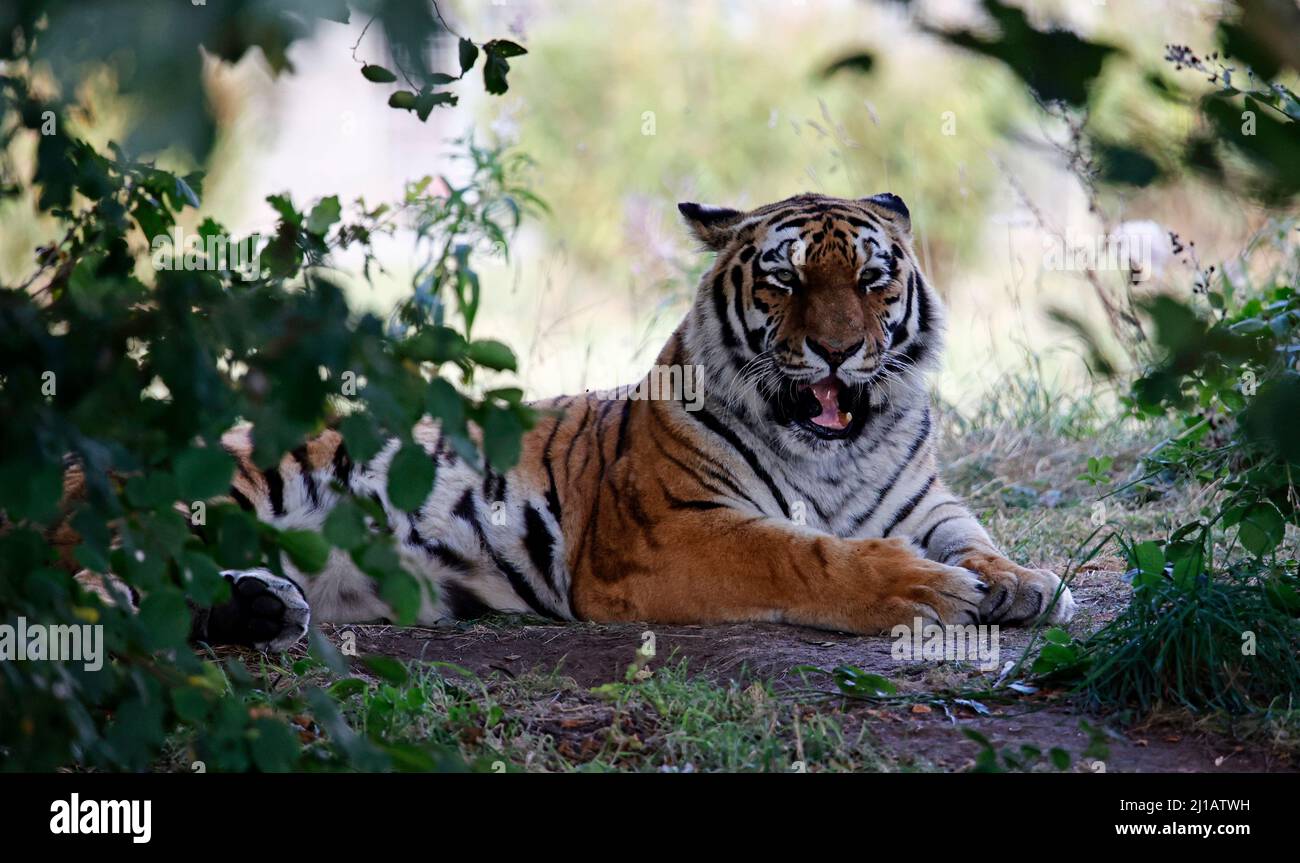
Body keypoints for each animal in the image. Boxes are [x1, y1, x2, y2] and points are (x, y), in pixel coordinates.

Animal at [82, 191, 1077, 650]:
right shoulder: (675, 531)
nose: (836, 351)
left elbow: (979, 542)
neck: (842, 454)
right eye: (785, 279)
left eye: (871, 280)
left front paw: (1026, 582)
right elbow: (808, 553)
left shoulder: (927, 505)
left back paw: (261, 604)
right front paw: (927, 591)